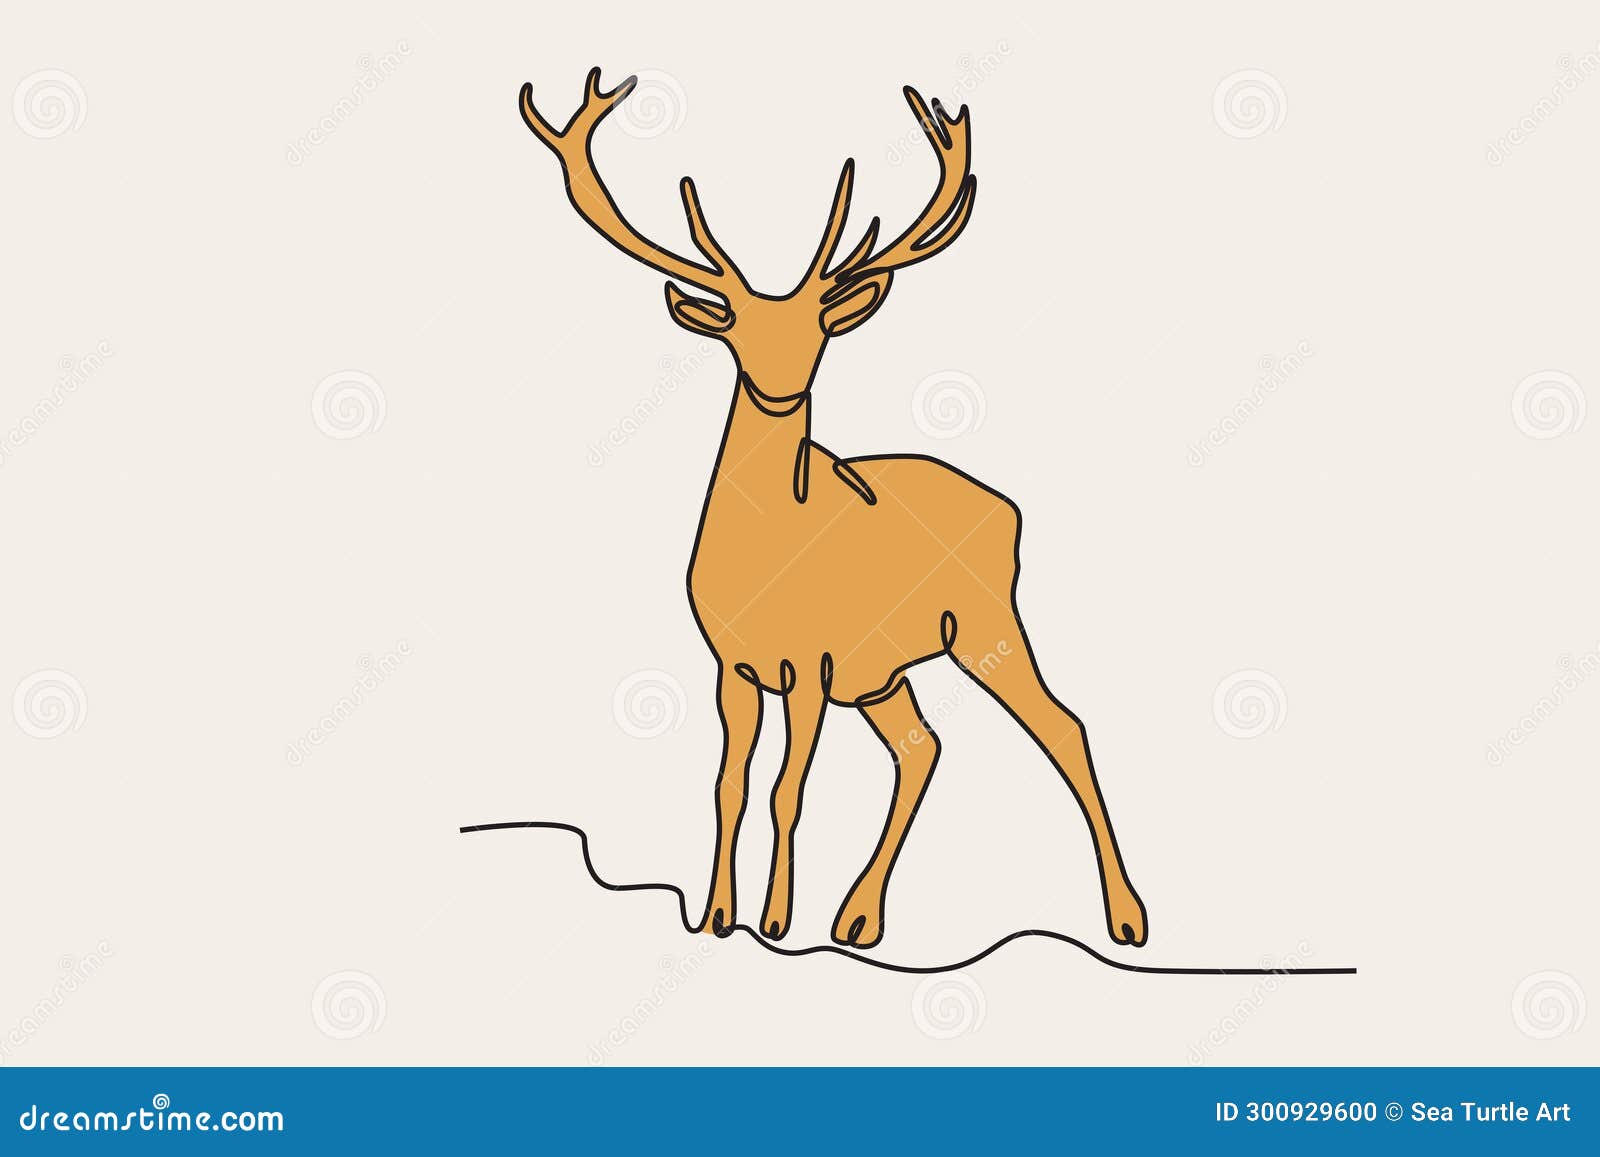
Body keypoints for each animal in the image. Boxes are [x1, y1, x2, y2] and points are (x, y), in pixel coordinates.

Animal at [519, 68, 1148, 951]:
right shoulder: (732, 664)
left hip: (985, 621)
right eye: (738, 330)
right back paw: (859, 915)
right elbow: (730, 783)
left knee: (1065, 725)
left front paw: (777, 918)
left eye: (820, 328)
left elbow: (789, 787)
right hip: (883, 674)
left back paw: (1128, 917)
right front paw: (716, 914)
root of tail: (1010, 510)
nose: (783, 386)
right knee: (923, 745)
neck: (767, 554)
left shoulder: (810, 665)